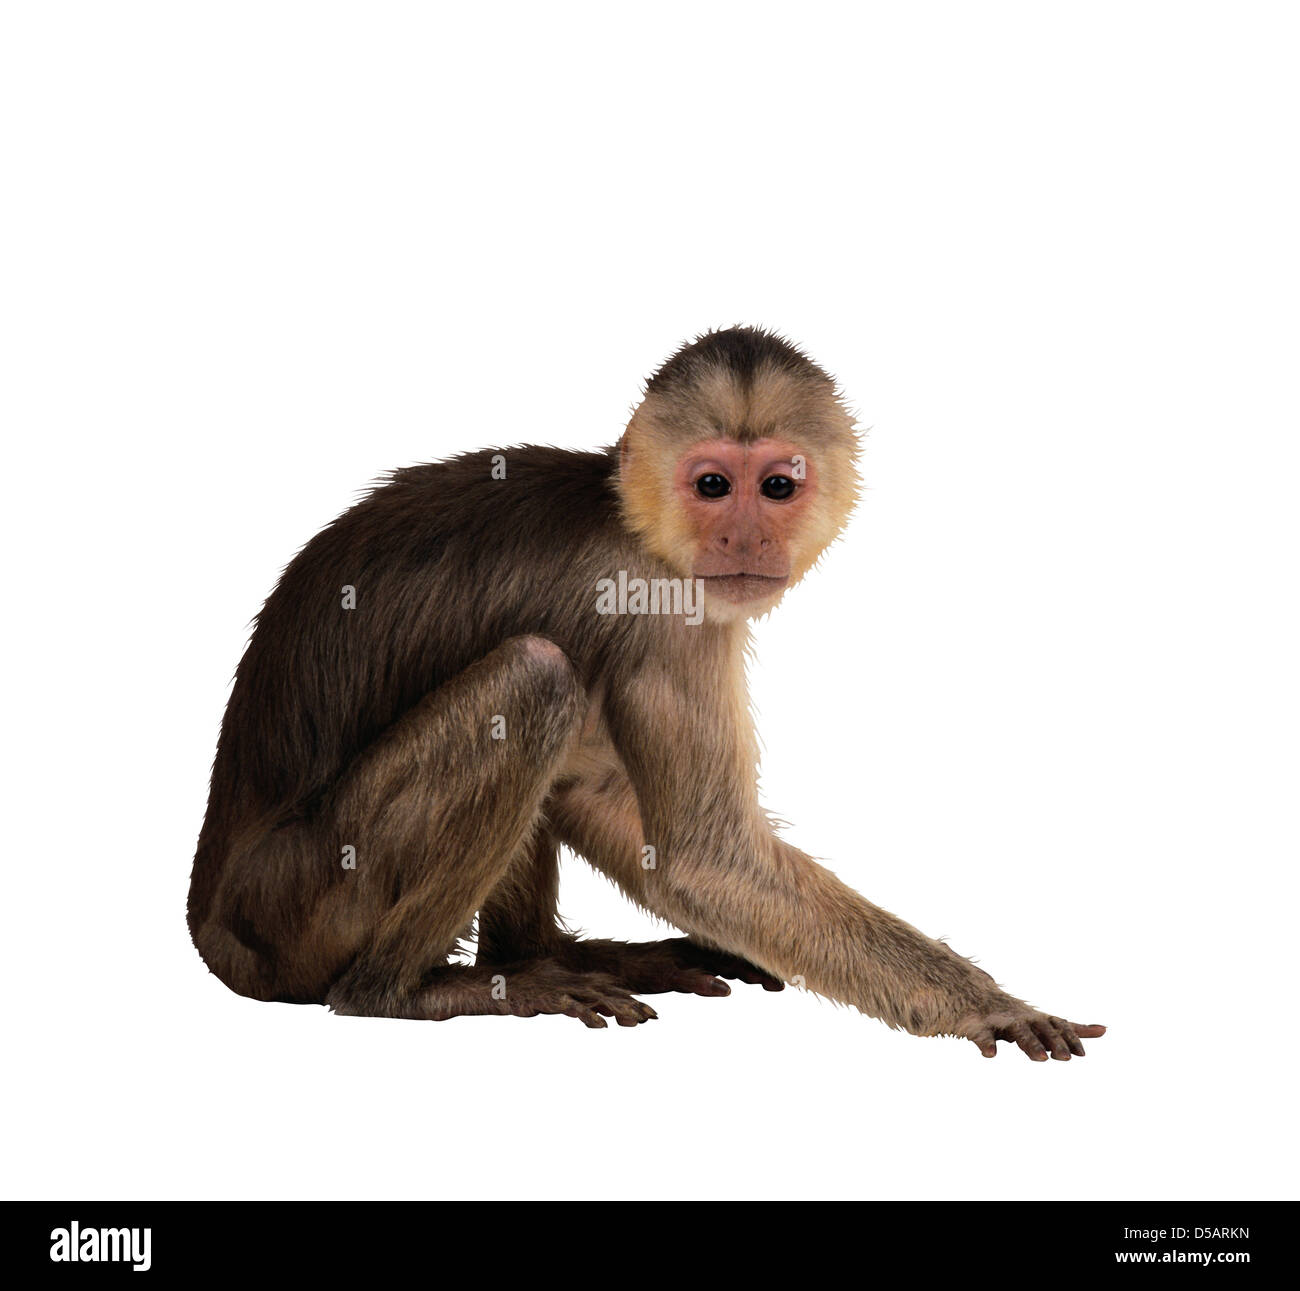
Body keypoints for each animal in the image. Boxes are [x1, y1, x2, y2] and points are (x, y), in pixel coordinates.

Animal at [188, 326, 1105, 1060]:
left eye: (777, 486)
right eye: (712, 486)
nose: (744, 537)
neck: (637, 527)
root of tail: (210, 922)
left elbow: (604, 796)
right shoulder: (665, 611)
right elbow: (702, 856)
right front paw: (984, 1003)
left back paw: (540, 956)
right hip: (302, 904)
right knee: (537, 674)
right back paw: (409, 990)